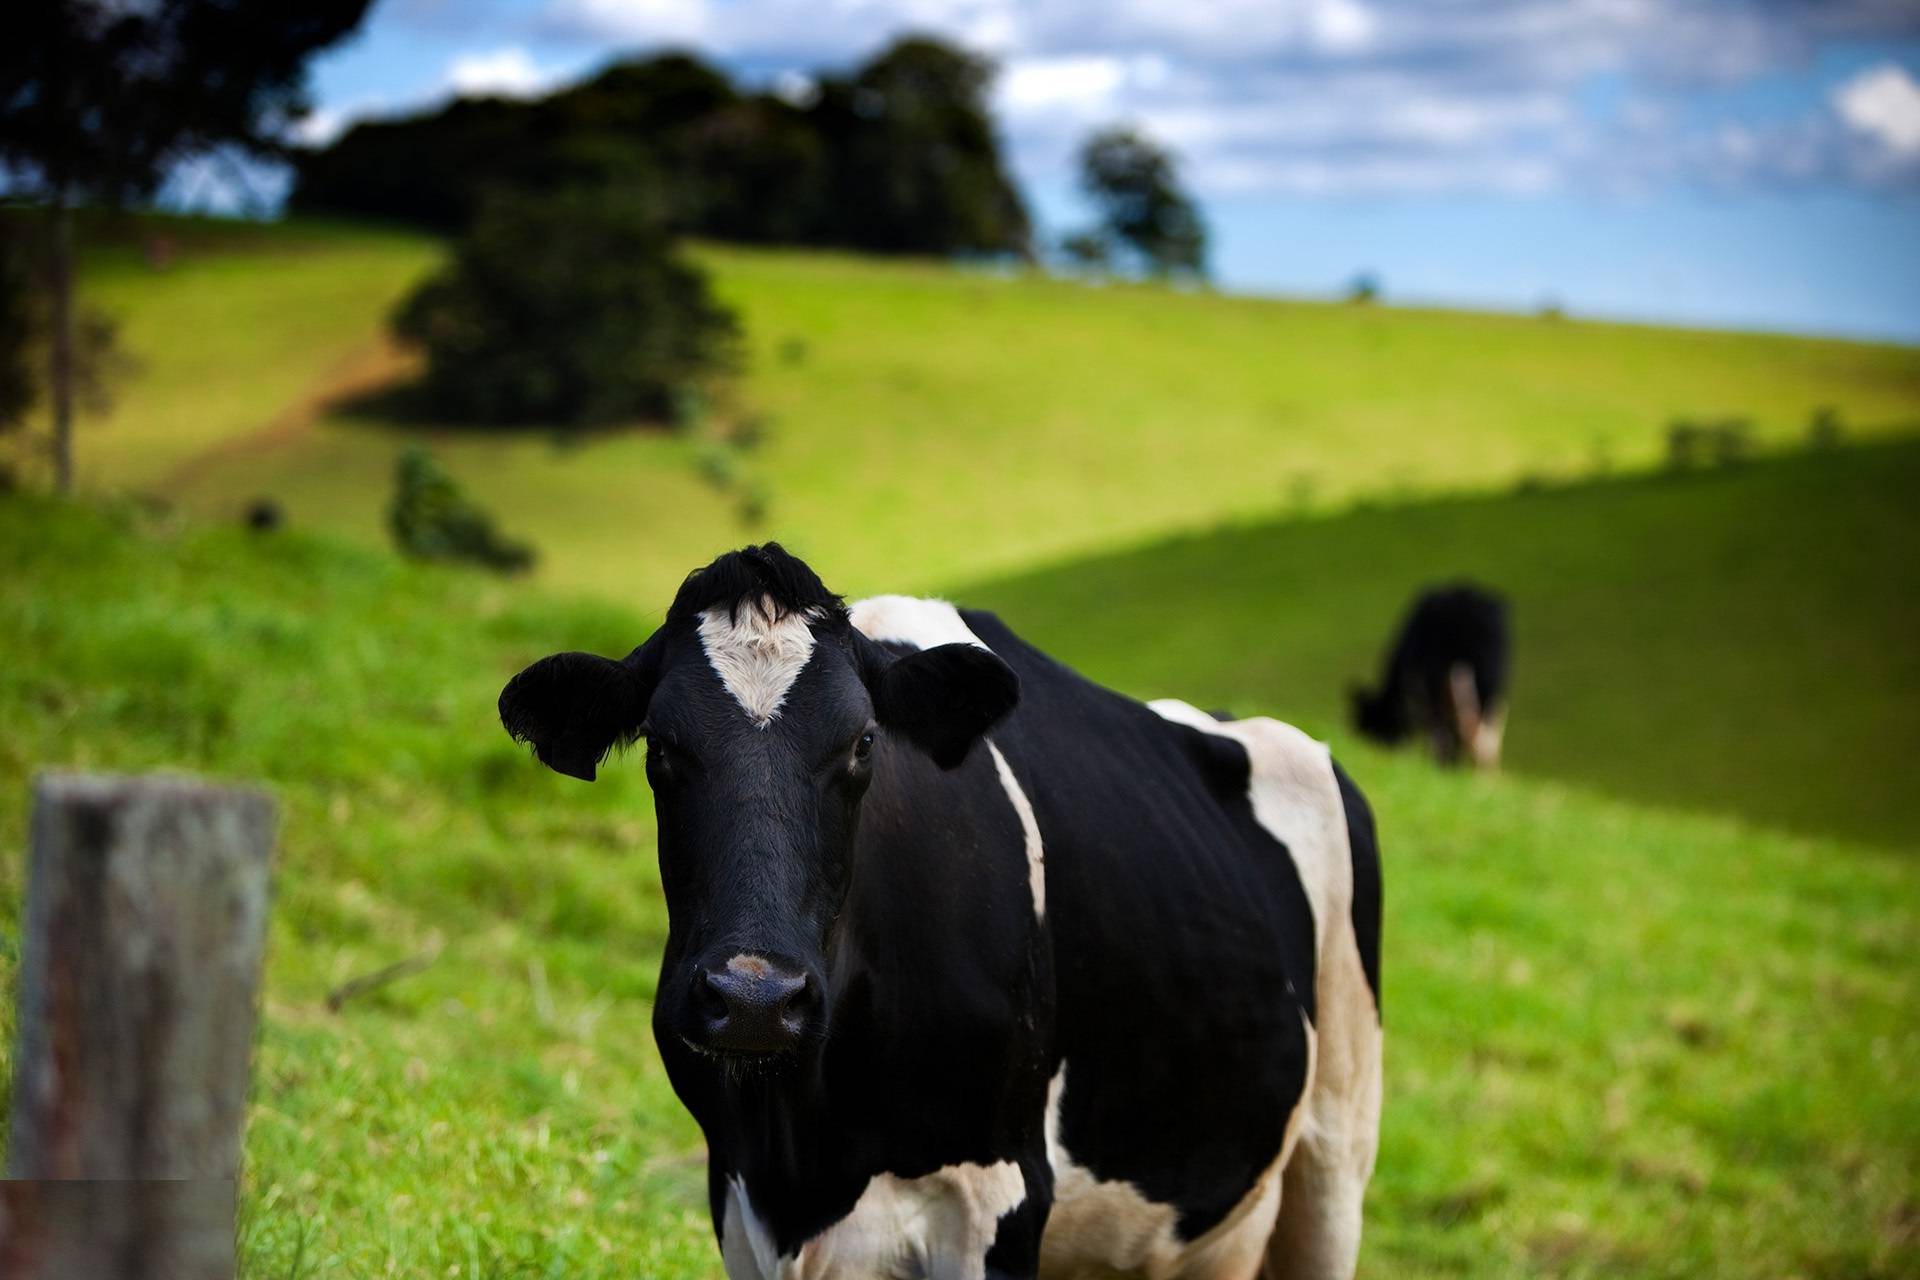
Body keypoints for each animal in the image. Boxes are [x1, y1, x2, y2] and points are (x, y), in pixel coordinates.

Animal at [499, 544, 1384, 1280]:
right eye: (659, 744)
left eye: (863, 742)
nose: (755, 998)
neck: (808, 1142)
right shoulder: (739, 1190)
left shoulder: (1002, 1194)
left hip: (1335, 1156)